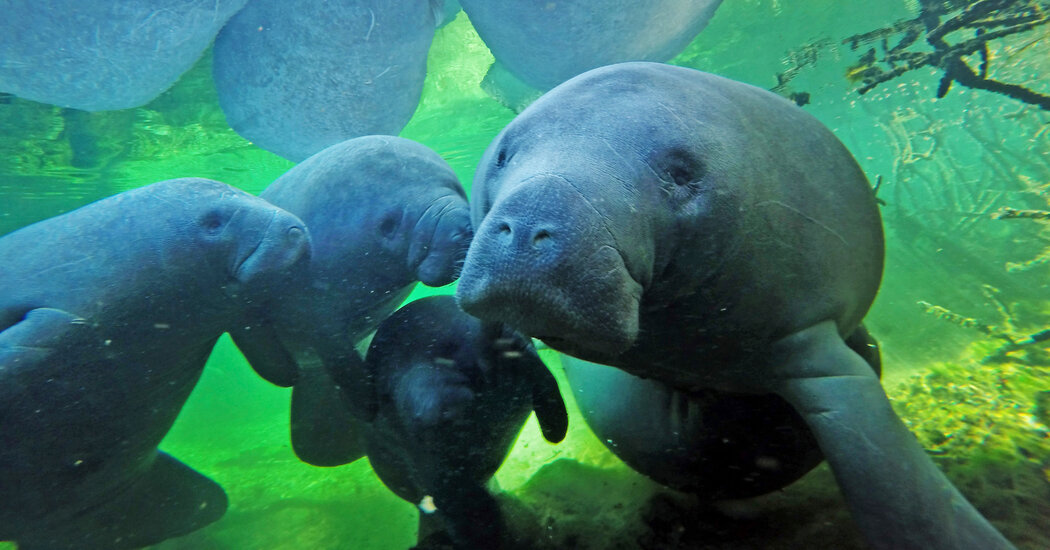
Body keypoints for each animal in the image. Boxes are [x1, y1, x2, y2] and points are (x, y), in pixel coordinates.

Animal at [0, 178, 308, 545]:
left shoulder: (234, 308)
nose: (296, 230)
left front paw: (290, 373)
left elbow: (270, 358)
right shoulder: (56, 317)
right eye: (213, 223)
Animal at [245, 135, 472, 466]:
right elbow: (340, 357)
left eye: (457, 188)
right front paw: (367, 406)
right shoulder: (318, 312)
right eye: (388, 225)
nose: (463, 229)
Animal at [363, 295, 571, 550]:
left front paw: (555, 433)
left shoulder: (524, 353)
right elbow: (462, 503)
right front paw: (486, 535)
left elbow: (547, 385)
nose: (438, 412)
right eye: (386, 396)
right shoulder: (431, 463)